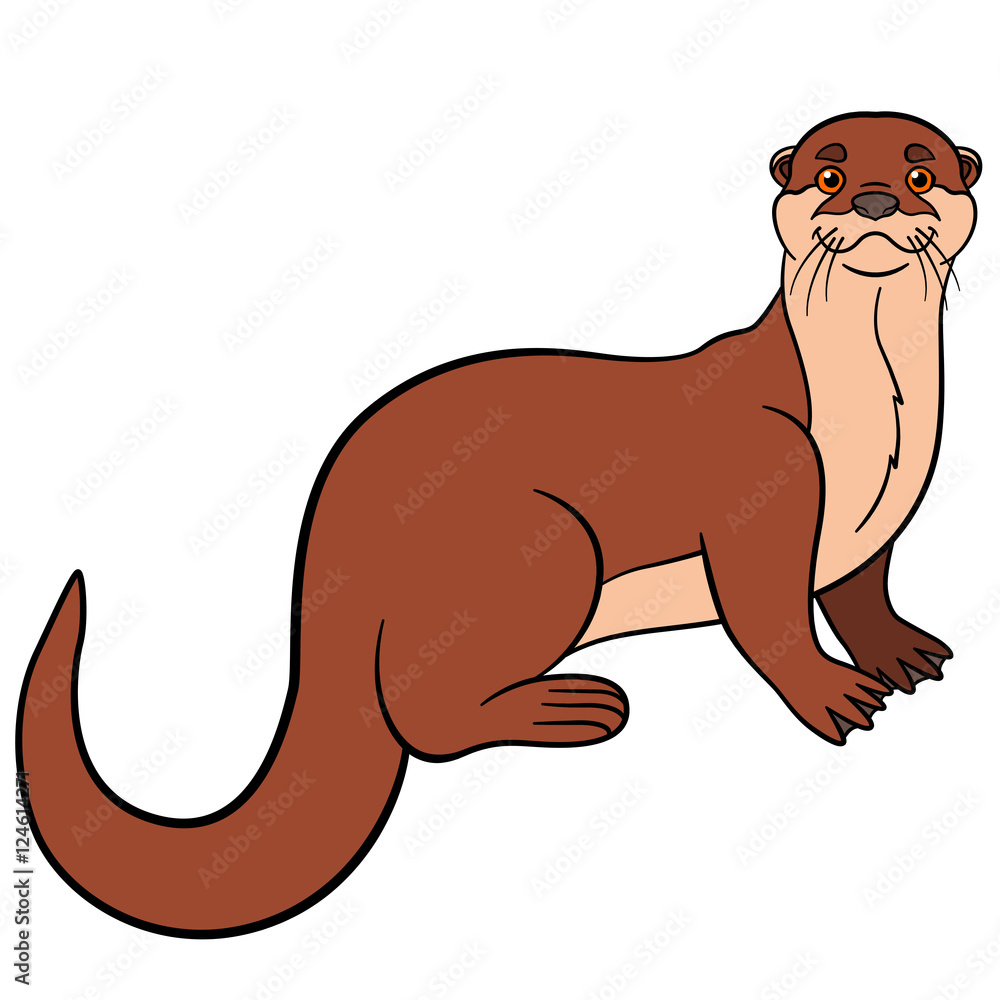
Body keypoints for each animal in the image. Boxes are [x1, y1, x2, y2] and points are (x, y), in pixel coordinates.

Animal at [16, 112, 980, 937]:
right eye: (830, 173)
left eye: (921, 172)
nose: (876, 201)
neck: (871, 419)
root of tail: (328, 535)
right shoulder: (764, 484)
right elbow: (767, 614)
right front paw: (832, 694)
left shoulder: (873, 526)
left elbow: (861, 591)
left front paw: (901, 652)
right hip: (544, 545)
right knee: (420, 716)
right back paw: (568, 707)